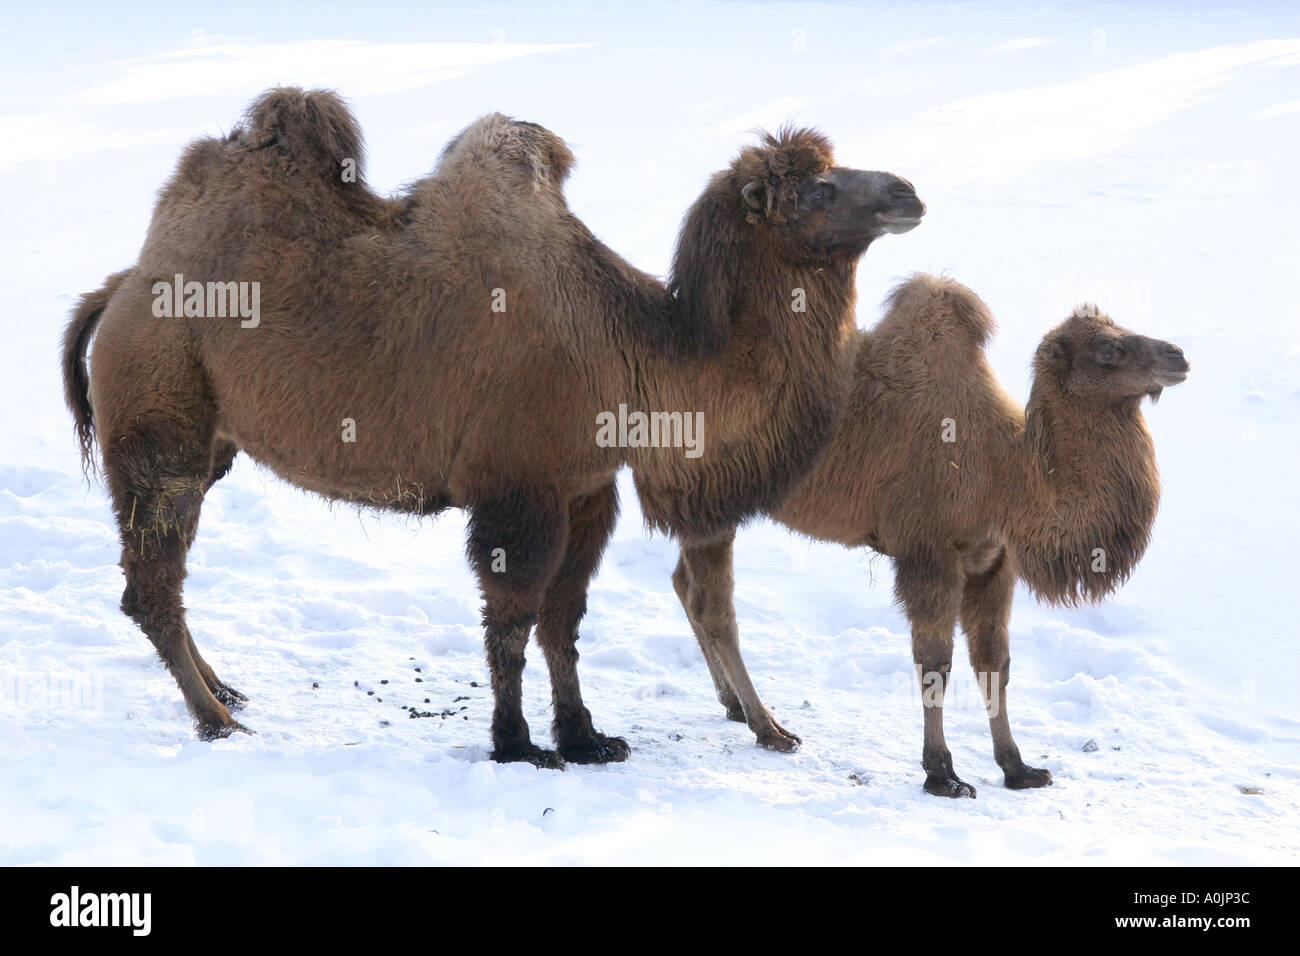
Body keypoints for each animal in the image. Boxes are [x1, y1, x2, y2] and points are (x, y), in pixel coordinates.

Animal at [61, 88, 924, 767]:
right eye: (818, 188)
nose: (908, 191)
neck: (630, 351)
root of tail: (122, 288)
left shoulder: (586, 490)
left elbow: (563, 621)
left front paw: (586, 737)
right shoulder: (522, 489)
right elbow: (510, 620)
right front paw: (517, 744)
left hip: (213, 442)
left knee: (162, 574)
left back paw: (225, 689)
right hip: (161, 423)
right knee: (151, 582)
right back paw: (216, 720)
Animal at [673, 274, 1189, 795]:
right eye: (1107, 349)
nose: (1178, 356)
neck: (1004, 473)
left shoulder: (994, 563)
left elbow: (995, 665)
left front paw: (1019, 768)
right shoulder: (929, 553)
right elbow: (935, 665)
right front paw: (942, 774)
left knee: (686, 586)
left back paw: (734, 706)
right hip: (711, 499)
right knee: (717, 611)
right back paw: (769, 728)